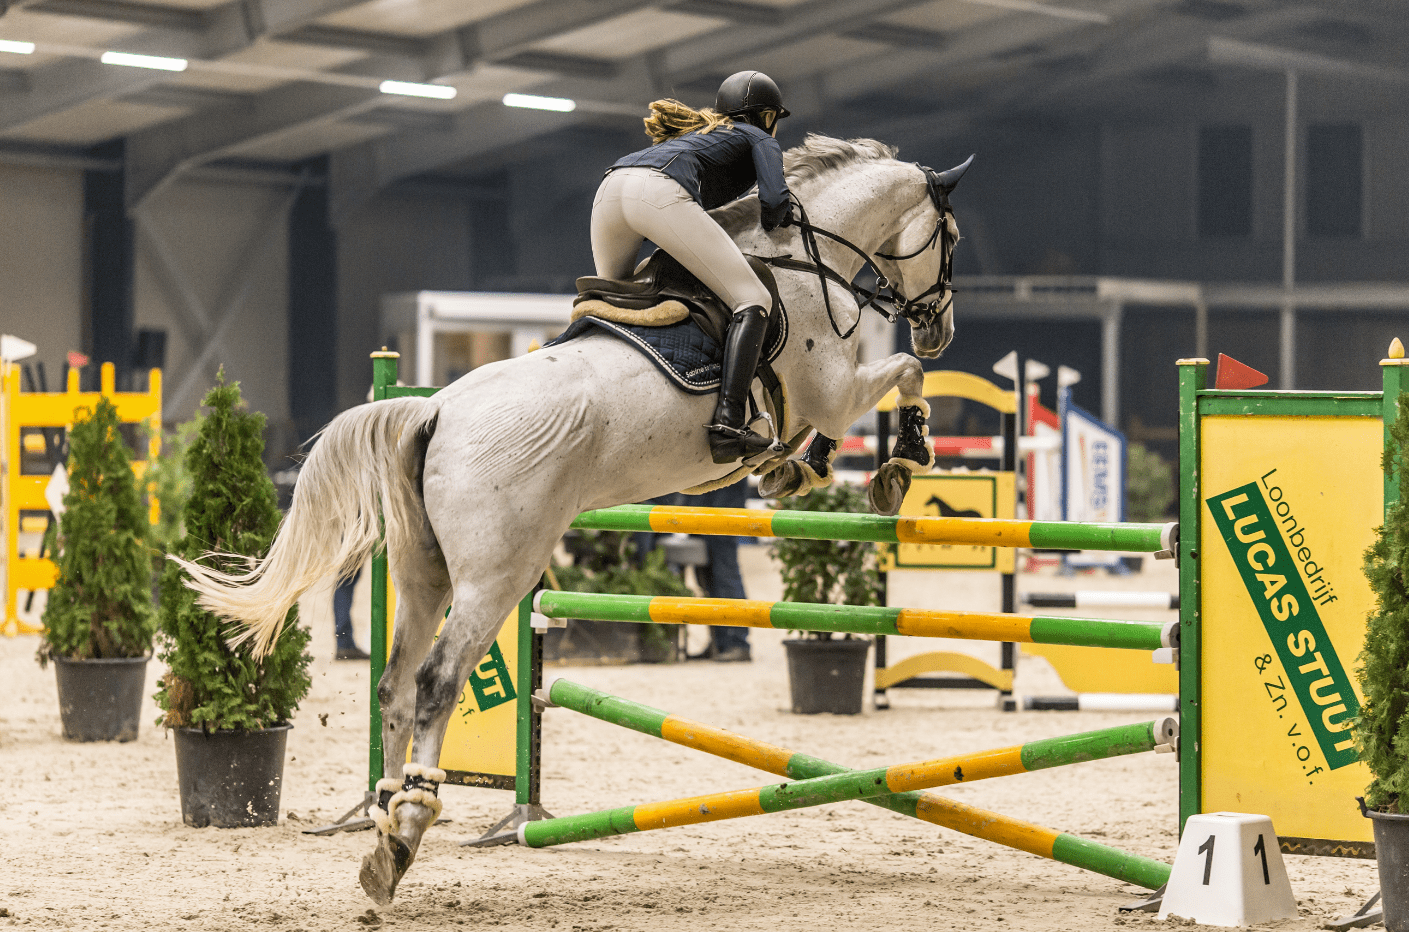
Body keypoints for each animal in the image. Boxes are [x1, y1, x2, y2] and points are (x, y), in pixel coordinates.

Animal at [173, 134, 969, 905]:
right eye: (951, 237)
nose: (939, 329)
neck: (804, 261)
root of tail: (434, 408)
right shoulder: (829, 389)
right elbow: (899, 377)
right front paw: (902, 459)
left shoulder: (820, 401)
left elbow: (840, 422)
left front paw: (801, 468)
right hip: (500, 573)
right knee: (437, 680)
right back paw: (410, 824)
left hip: (424, 572)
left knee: (394, 684)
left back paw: (382, 815)